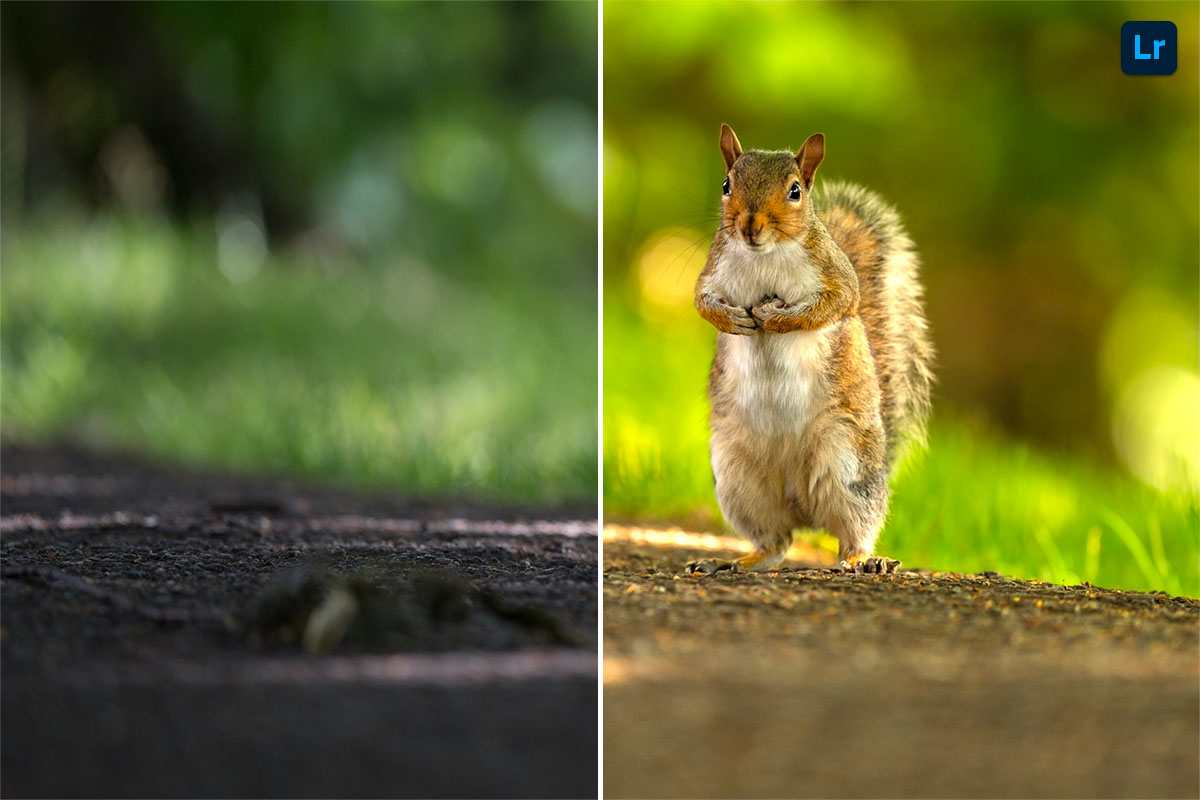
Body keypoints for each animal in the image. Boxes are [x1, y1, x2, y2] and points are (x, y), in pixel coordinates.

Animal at [689, 125, 934, 575]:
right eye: (727, 184)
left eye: (795, 191)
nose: (749, 225)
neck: (763, 254)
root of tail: (801, 506)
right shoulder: (712, 270)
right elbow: (702, 302)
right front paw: (731, 320)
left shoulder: (834, 274)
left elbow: (835, 304)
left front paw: (777, 319)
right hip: (737, 477)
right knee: (775, 541)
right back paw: (734, 562)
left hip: (846, 464)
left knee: (853, 532)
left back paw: (863, 560)